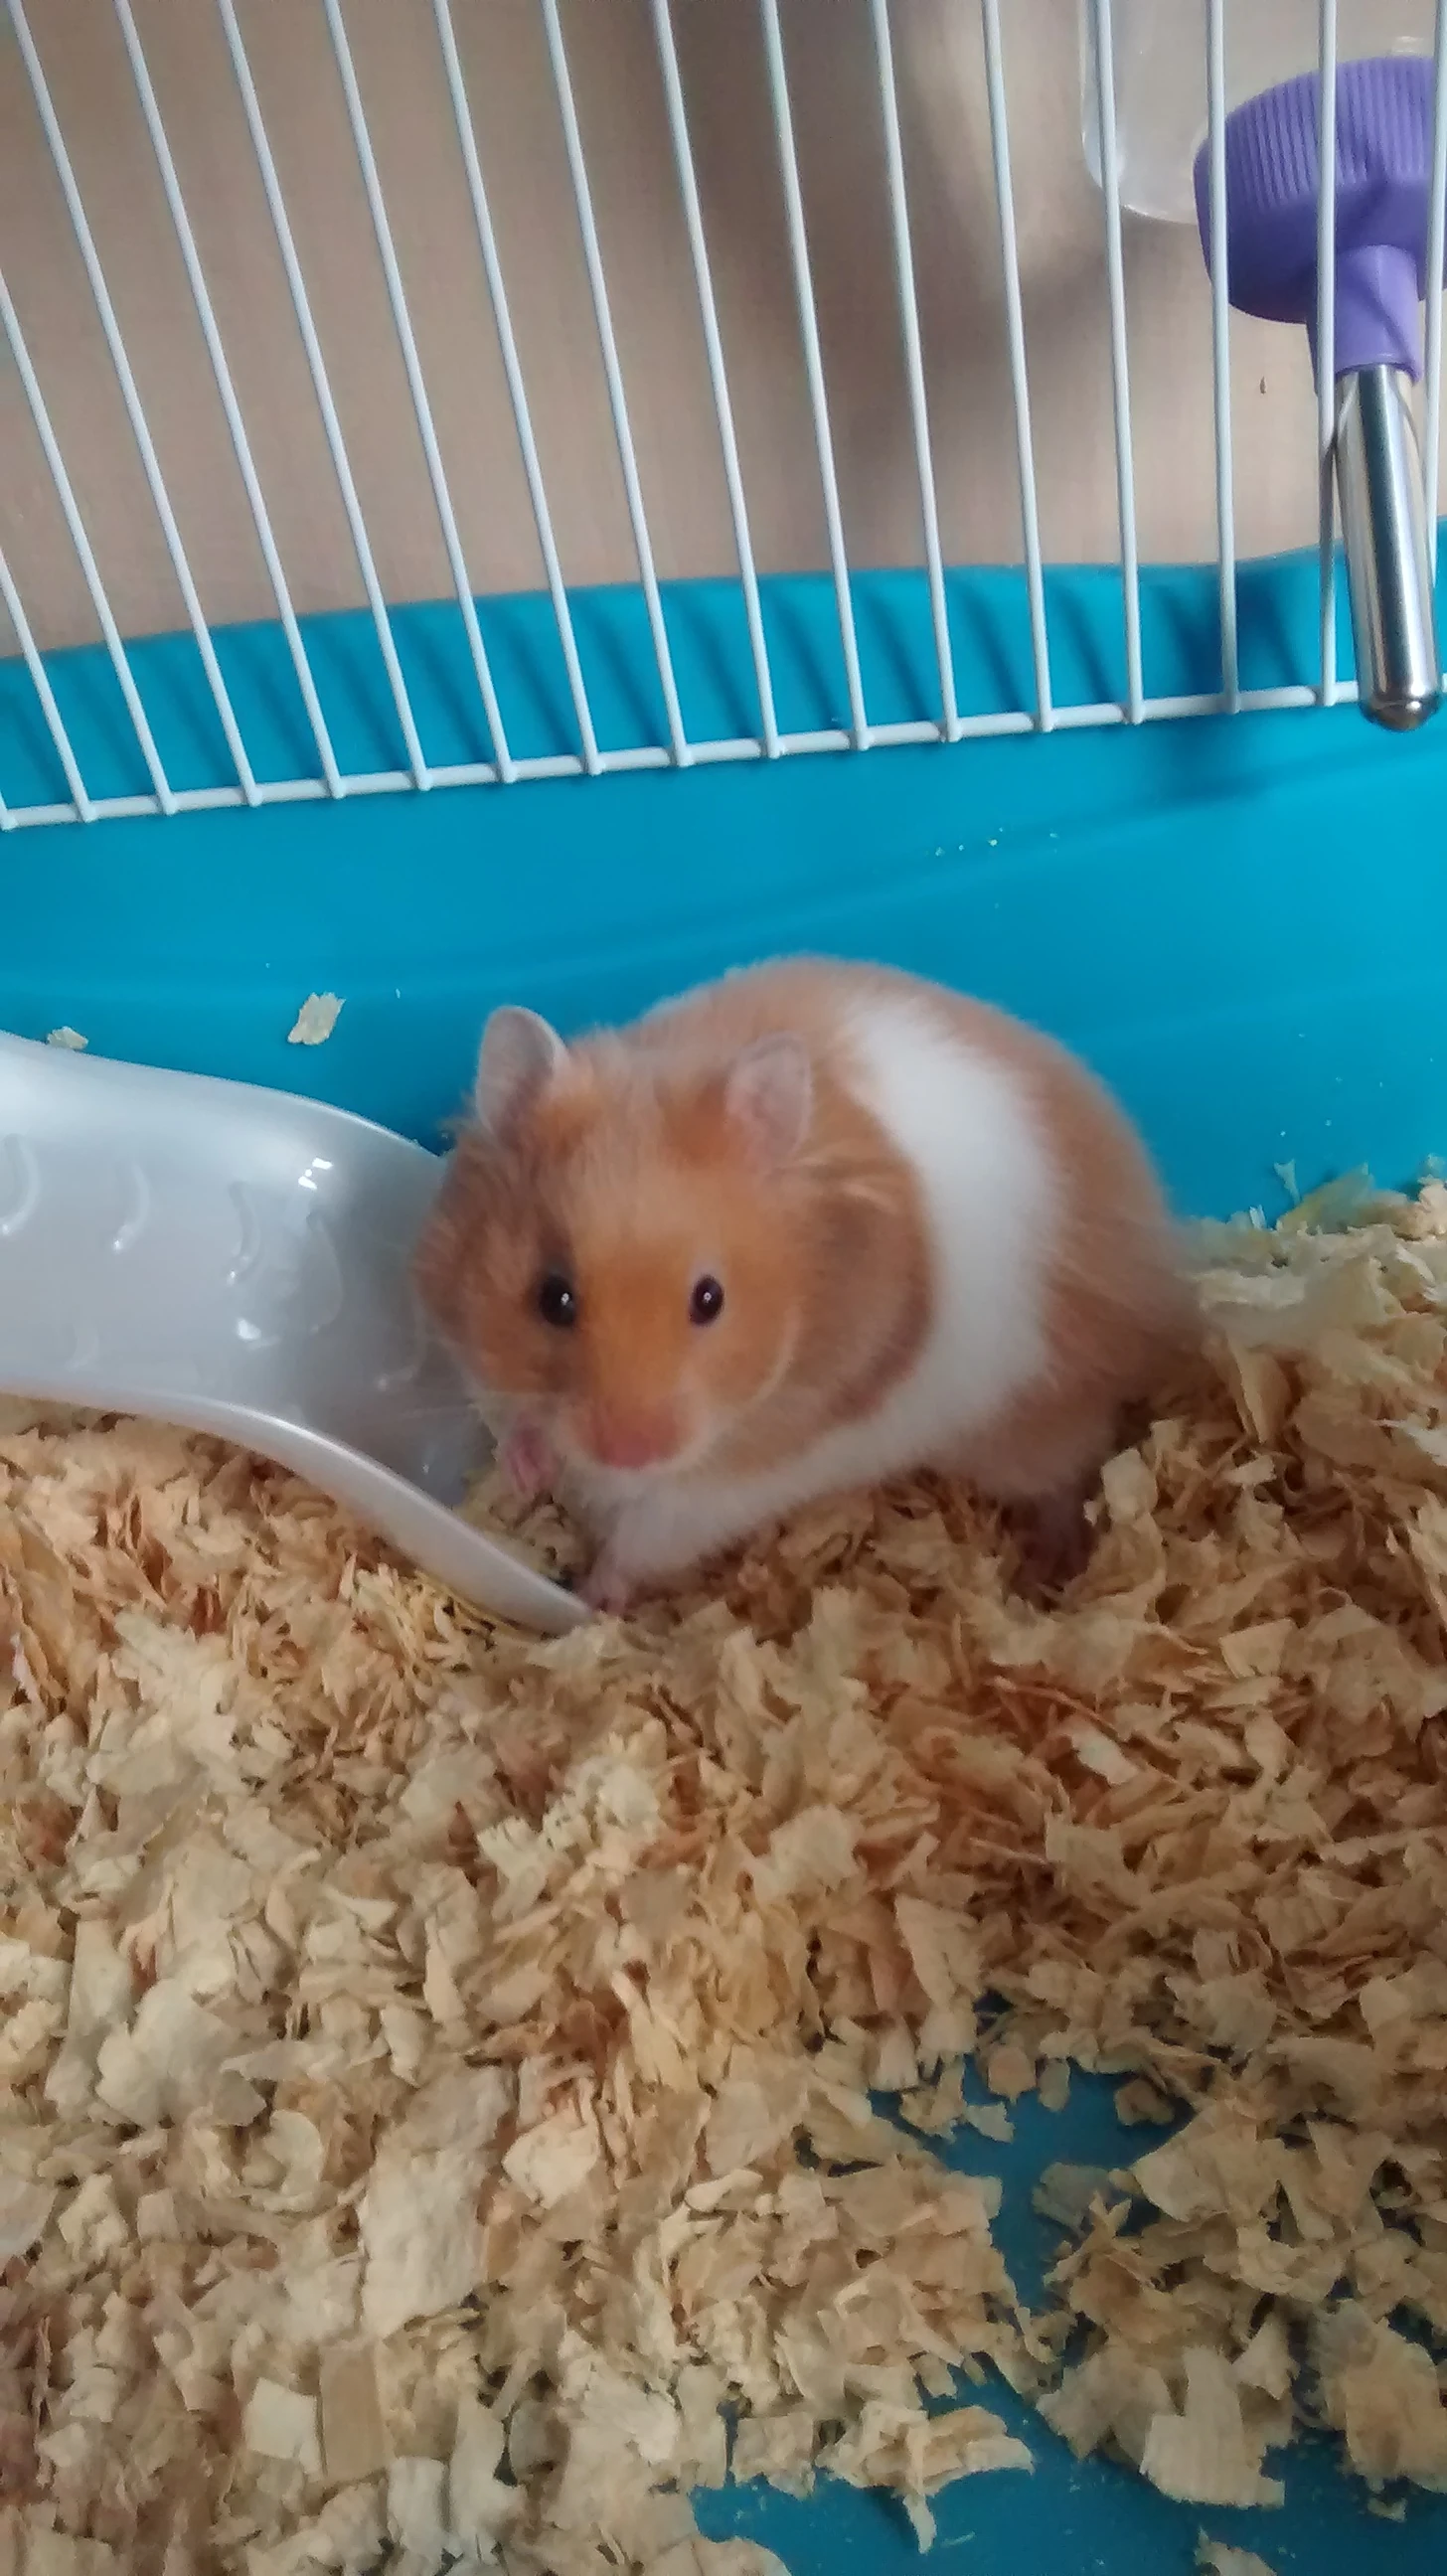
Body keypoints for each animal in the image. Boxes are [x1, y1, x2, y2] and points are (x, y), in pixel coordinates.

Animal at [413, 959, 1196, 1613]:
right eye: (552, 1297)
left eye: (710, 1299)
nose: (630, 1451)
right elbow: (509, 1407)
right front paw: (525, 1471)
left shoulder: (752, 1472)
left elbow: (648, 1537)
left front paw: (594, 1597)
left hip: (1034, 1422)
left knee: (1067, 1475)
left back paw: (1052, 1567)